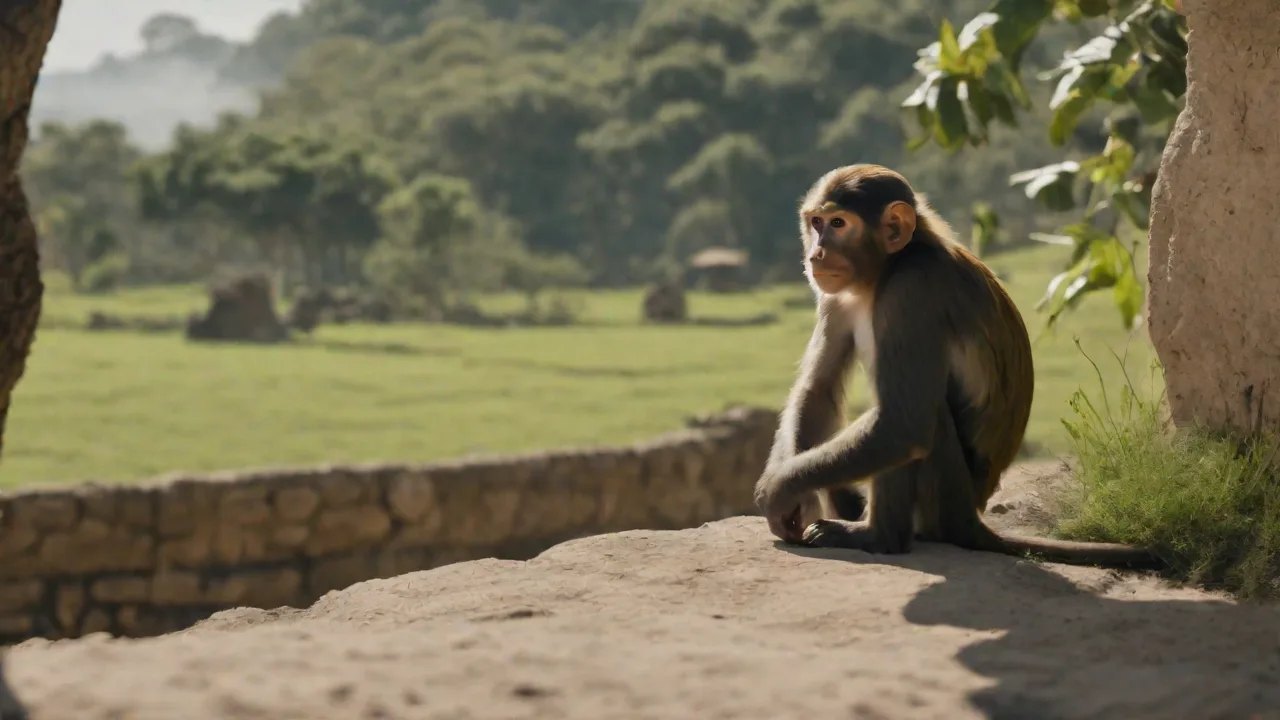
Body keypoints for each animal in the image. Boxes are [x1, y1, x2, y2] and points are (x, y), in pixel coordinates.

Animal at [753, 164, 1159, 569]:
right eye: (817, 222)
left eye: (839, 223)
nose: (817, 254)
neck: (888, 268)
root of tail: (971, 517)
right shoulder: (836, 296)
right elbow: (818, 390)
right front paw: (795, 497)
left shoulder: (911, 290)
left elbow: (902, 424)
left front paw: (779, 489)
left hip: (941, 503)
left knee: (919, 418)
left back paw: (879, 536)